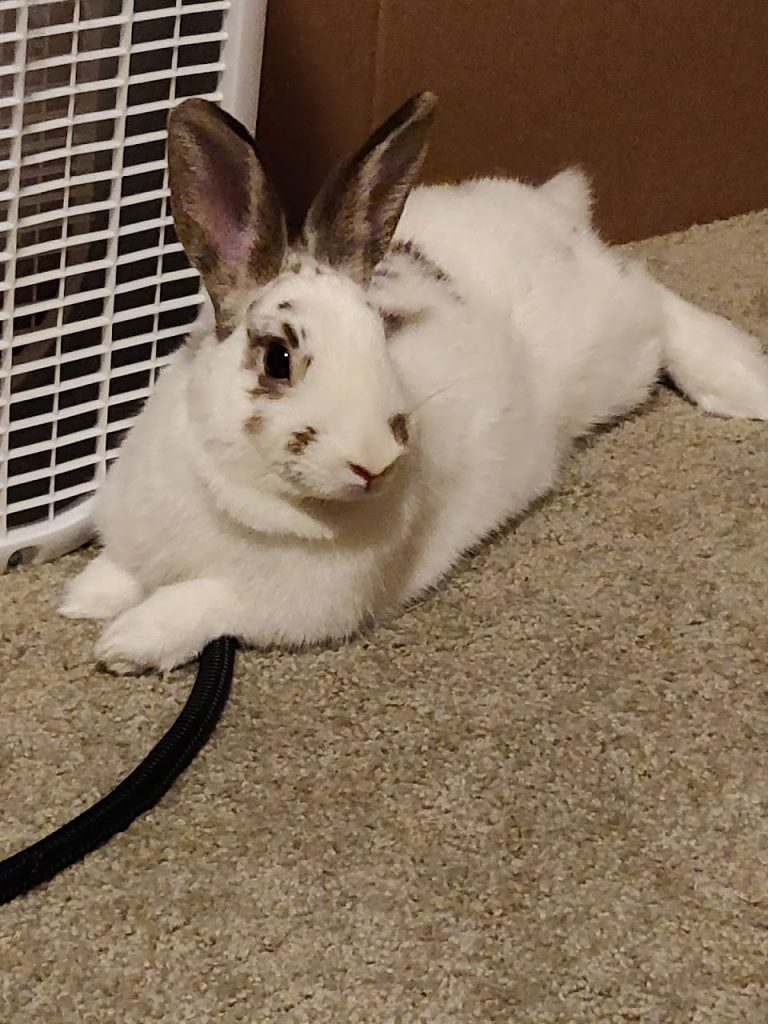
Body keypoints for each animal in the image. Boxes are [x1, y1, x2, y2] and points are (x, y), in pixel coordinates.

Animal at [60, 92, 768, 674]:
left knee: (652, 296)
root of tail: (551, 210)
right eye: (278, 359)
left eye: (382, 337)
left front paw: (123, 643)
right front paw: (84, 597)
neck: (237, 498)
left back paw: (741, 380)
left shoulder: (281, 604)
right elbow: (124, 570)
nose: (375, 462)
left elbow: (197, 603)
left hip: (612, 346)